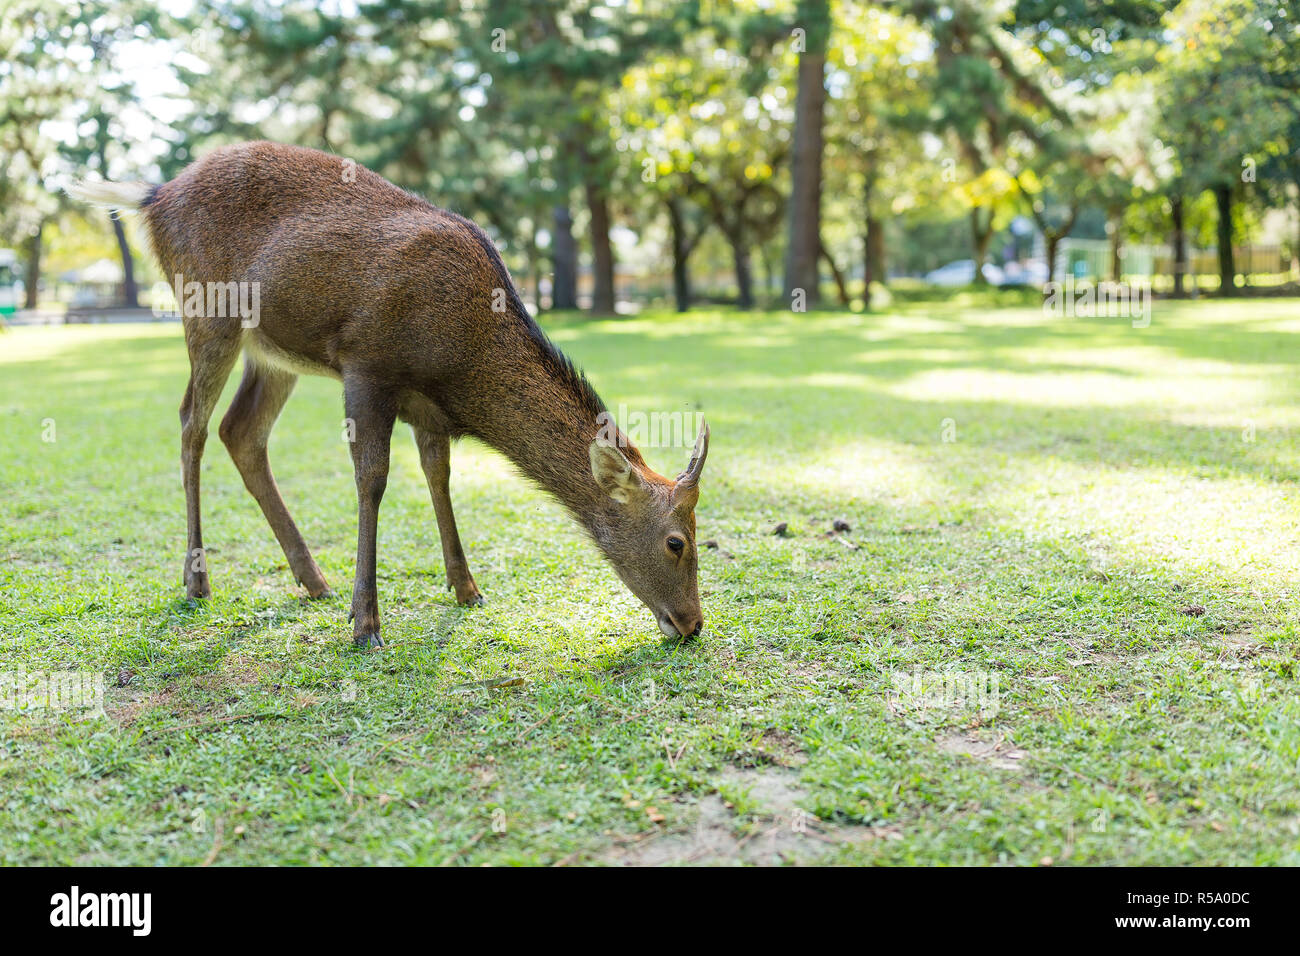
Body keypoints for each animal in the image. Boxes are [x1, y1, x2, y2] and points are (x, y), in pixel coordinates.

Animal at [68, 141, 709, 649]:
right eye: (676, 542)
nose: (692, 623)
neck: (463, 360)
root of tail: (155, 195)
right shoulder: (366, 365)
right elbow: (373, 480)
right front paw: (367, 623)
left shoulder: (428, 408)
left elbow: (437, 478)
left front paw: (466, 588)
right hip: (208, 312)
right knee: (191, 425)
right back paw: (199, 580)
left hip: (273, 353)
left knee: (240, 431)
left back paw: (313, 579)